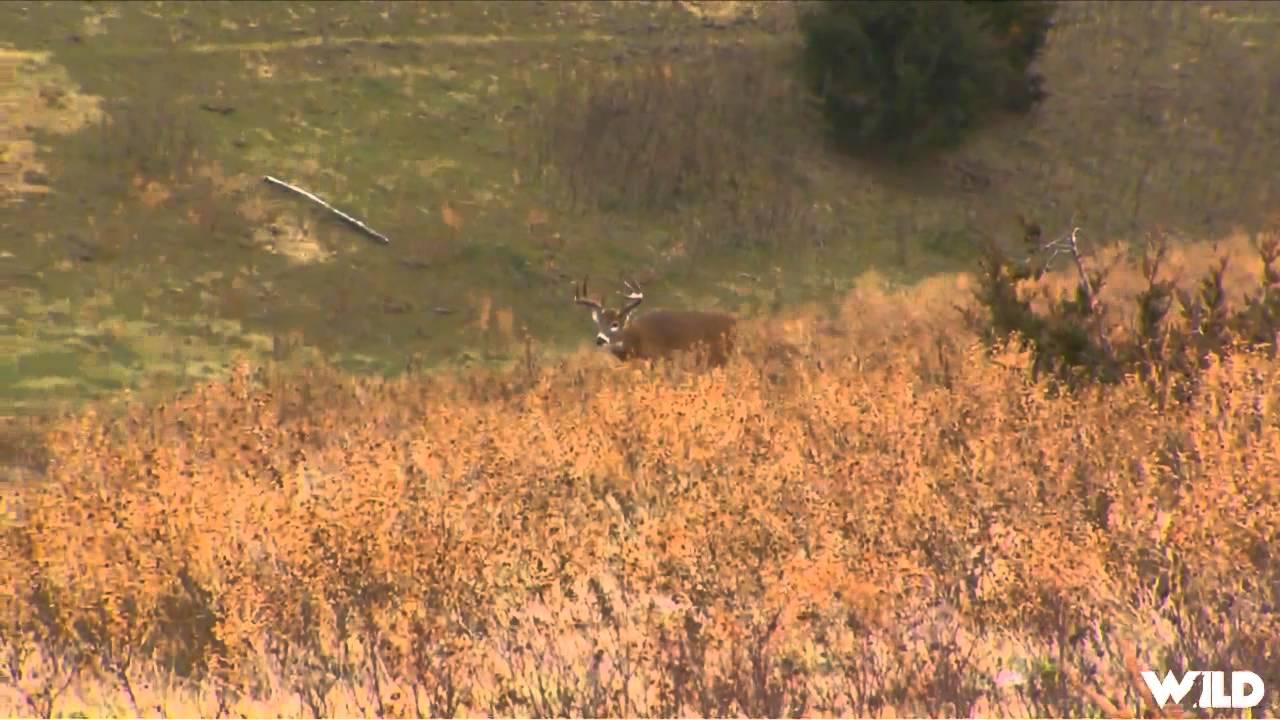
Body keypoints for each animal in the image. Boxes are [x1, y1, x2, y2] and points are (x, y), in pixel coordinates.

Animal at [573, 277, 737, 366]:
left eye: (615, 324)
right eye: (599, 323)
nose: (600, 340)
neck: (636, 339)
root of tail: (733, 321)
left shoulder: (658, 356)